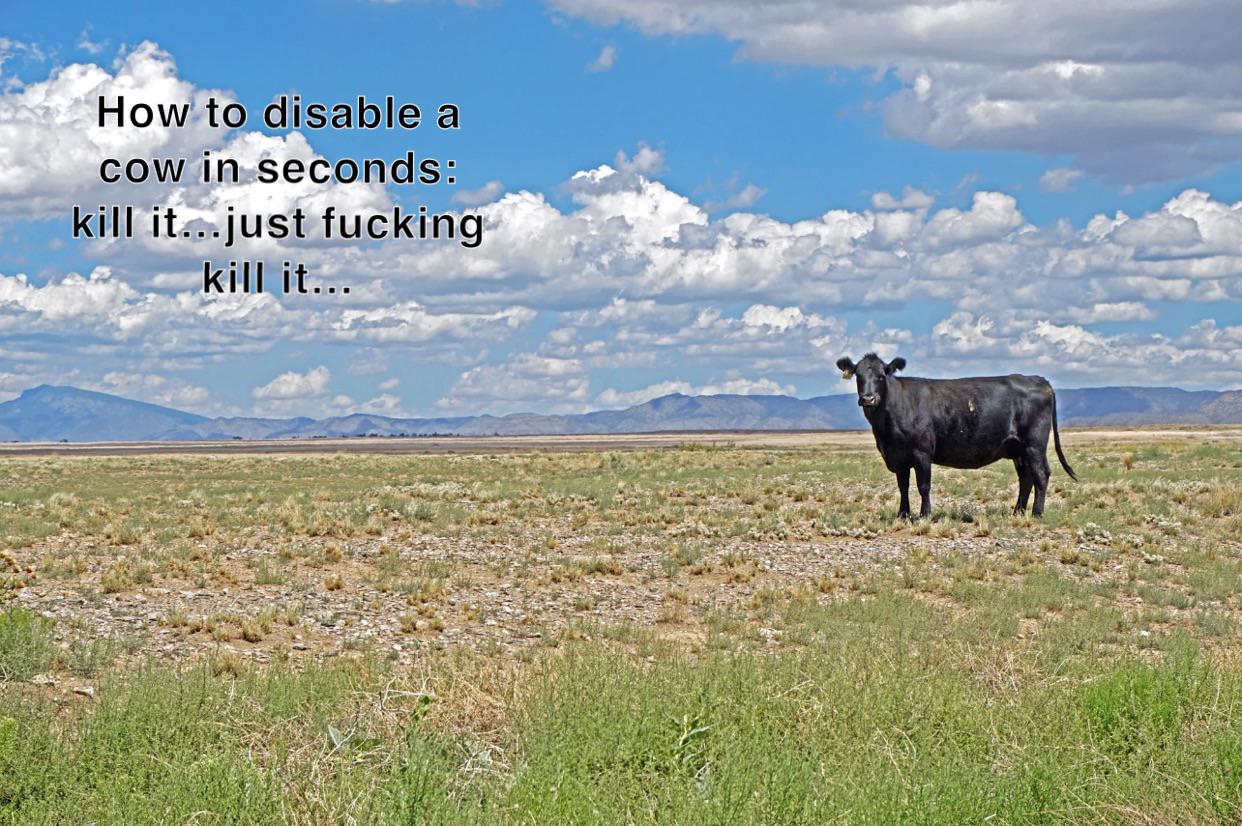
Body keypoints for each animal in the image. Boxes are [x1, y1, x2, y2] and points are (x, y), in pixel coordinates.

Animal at [834, 354, 1076, 518]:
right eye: (858, 376)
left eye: (881, 376)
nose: (868, 398)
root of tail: (1039, 380)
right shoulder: (897, 456)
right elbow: (903, 486)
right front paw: (903, 515)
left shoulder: (922, 452)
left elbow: (923, 485)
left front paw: (924, 515)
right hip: (1018, 448)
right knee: (1025, 477)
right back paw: (1017, 511)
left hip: (1034, 444)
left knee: (1041, 474)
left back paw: (1036, 513)